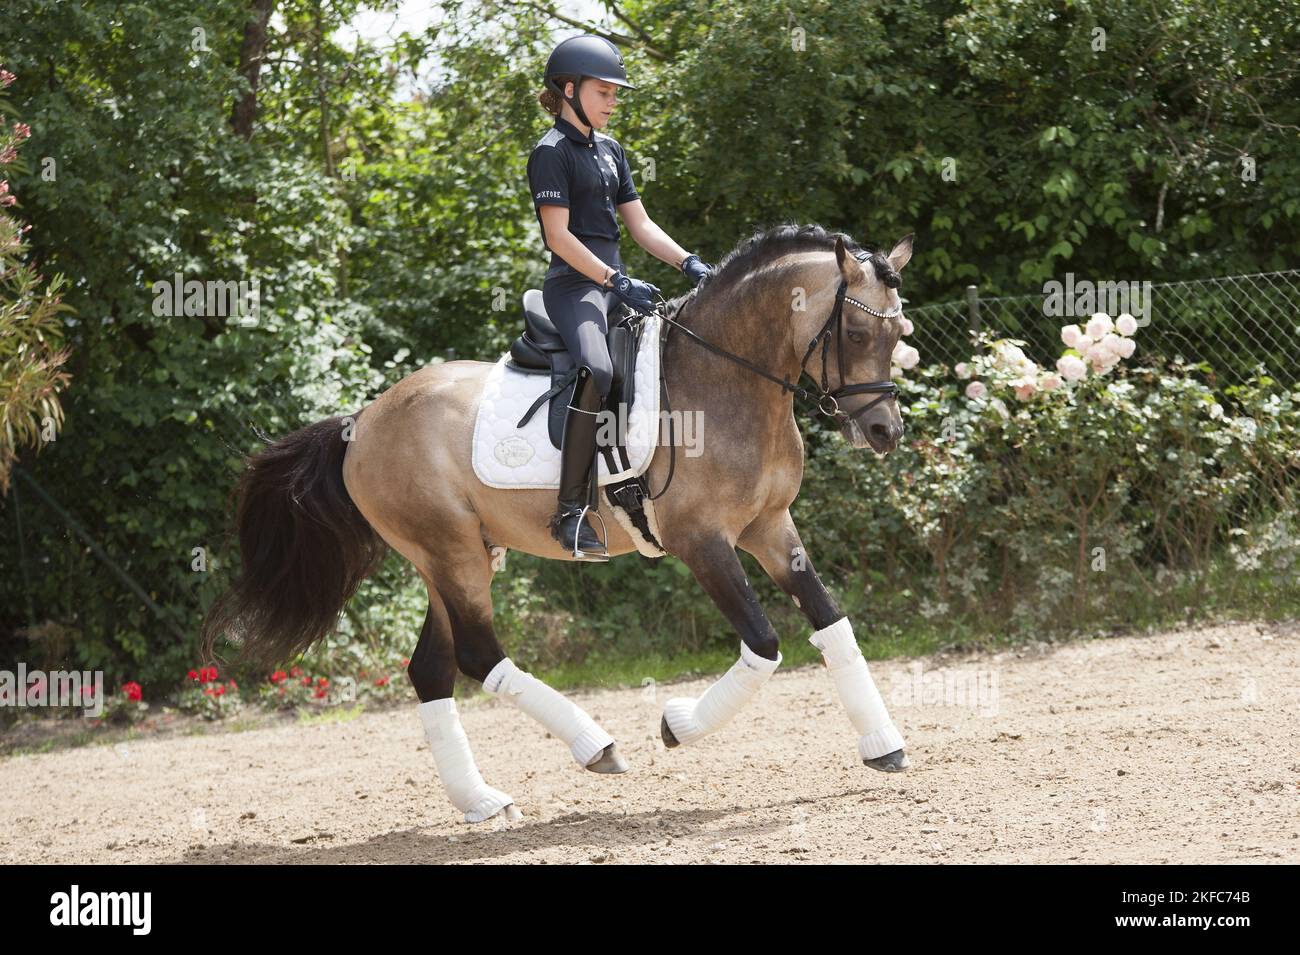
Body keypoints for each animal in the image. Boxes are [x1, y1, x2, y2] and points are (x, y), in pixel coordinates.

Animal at [201, 222, 915, 824]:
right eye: (856, 336)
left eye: (898, 332)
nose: (884, 432)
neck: (726, 378)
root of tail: (362, 420)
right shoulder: (702, 541)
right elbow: (764, 643)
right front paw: (676, 725)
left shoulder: (770, 526)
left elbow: (831, 621)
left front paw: (884, 744)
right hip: (451, 552)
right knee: (478, 654)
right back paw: (594, 745)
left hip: (454, 557)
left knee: (431, 668)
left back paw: (481, 801)